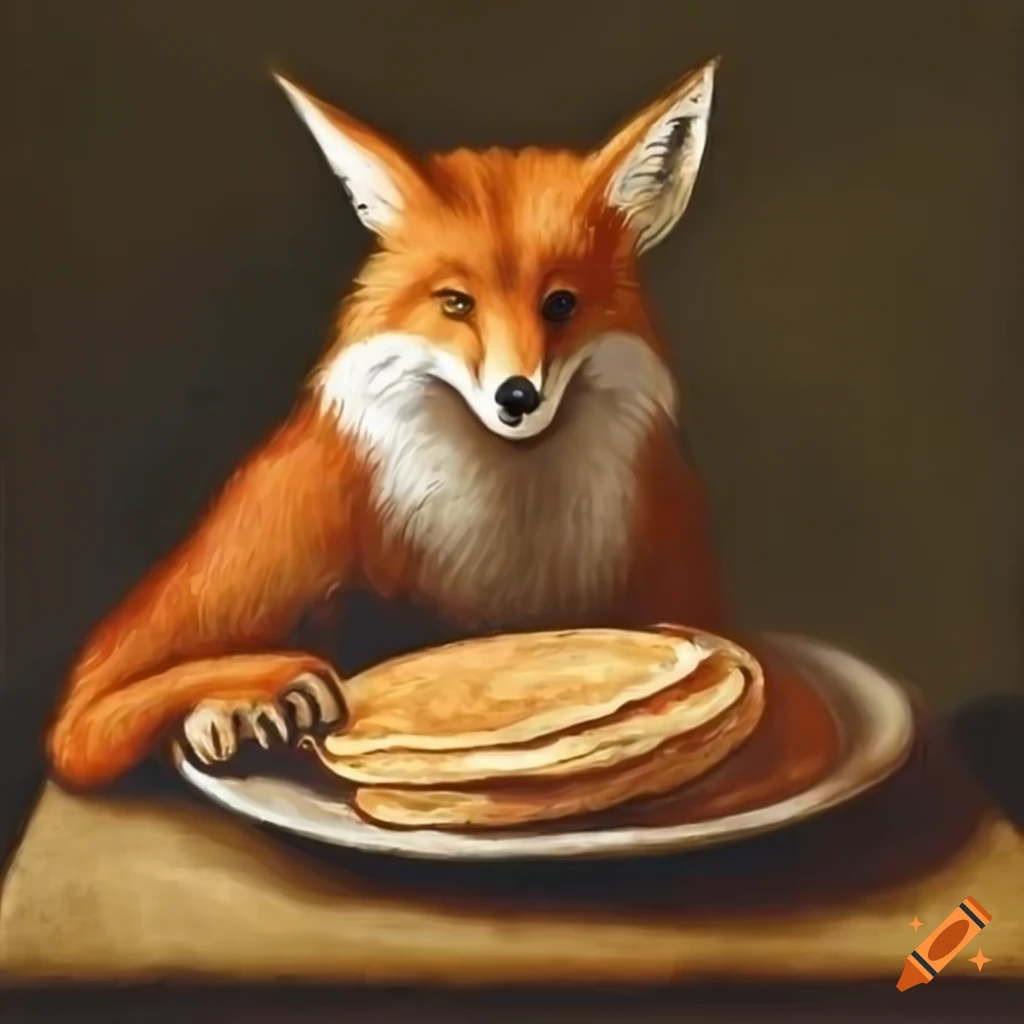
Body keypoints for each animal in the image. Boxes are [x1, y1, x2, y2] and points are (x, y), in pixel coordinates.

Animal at [47, 57, 734, 790]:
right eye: (456, 303)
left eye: (560, 305)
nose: (517, 397)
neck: (508, 538)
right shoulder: (271, 530)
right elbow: (110, 703)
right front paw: (250, 702)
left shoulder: (678, 573)